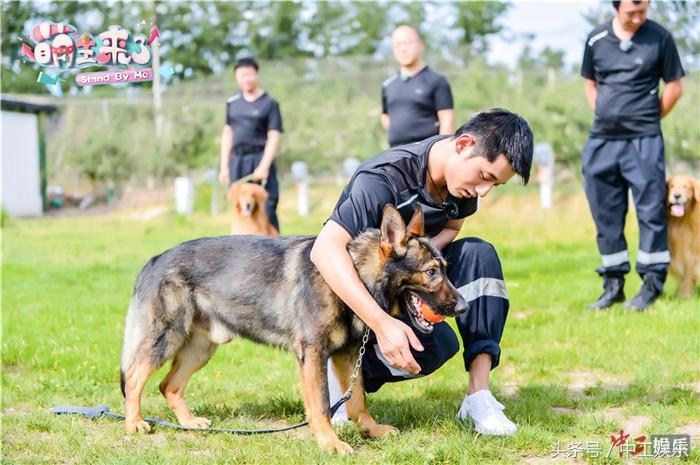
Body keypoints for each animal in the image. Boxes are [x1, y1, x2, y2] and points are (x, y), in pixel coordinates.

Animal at [120, 206, 468, 454]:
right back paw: (134, 423)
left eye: (445, 269)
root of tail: (154, 260)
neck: (353, 275)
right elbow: (322, 404)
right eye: (432, 272)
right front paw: (329, 442)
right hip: (166, 338)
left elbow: (357, 400)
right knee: (135, 377)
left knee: (169, 385)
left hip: (200, 349)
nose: (464, 307)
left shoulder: (347, 357)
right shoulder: (313, 353)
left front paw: (370, 430)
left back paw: (189, 422)